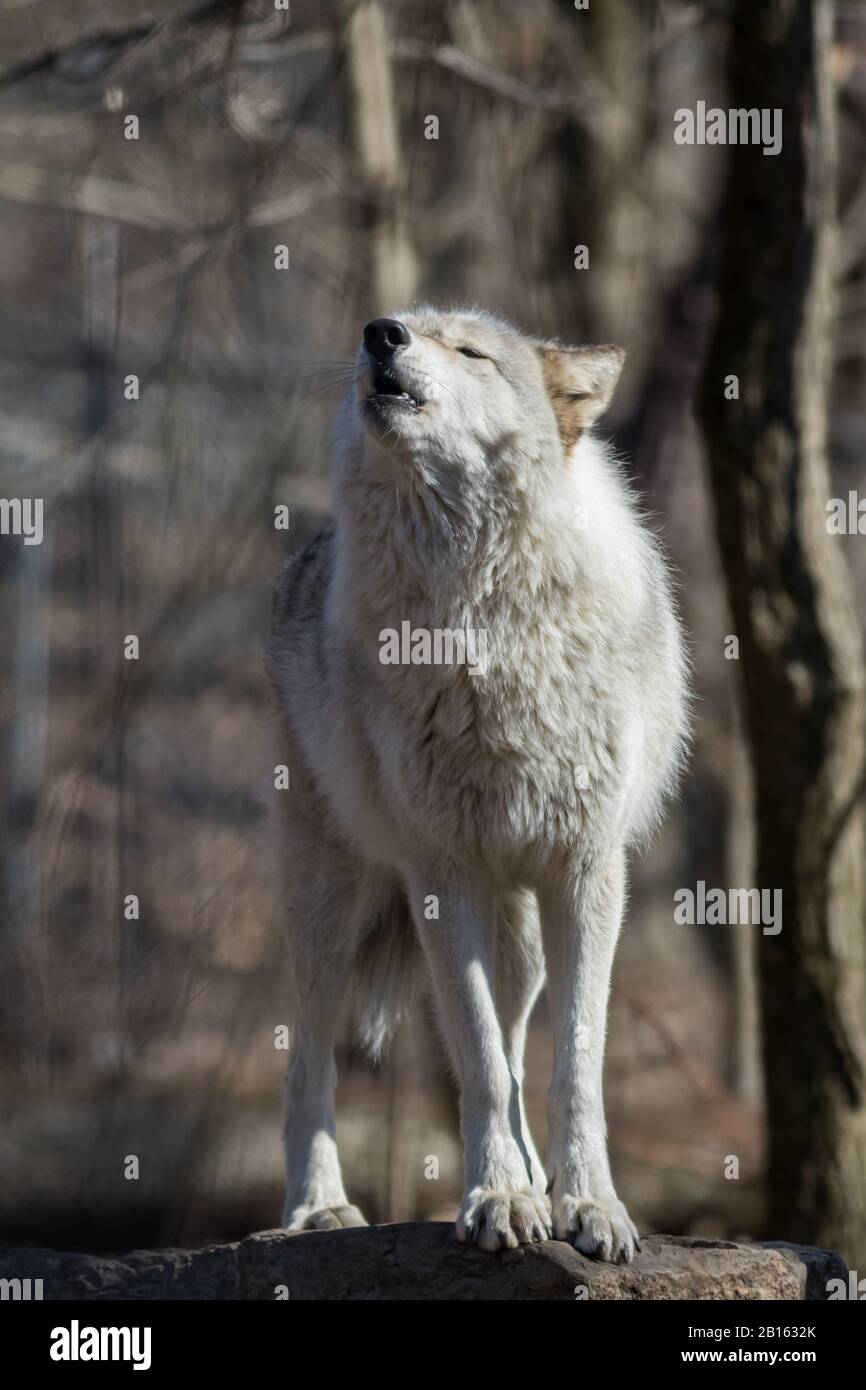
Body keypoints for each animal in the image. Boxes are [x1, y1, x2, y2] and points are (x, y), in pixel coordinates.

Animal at [267, 306, 690, 1262]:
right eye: (406, 328)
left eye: (470, 352)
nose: (380, 332)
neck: (480, 619)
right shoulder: (441, 875)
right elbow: (481, 1062)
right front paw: (496, 1199)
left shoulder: (588, 872)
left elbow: (572, 1067)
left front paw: (588, 1206)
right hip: (330, 907)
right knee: (309, 1060)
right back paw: (318, 1210)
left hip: (520, 932)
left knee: (521, 1028)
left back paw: (538, 1180)